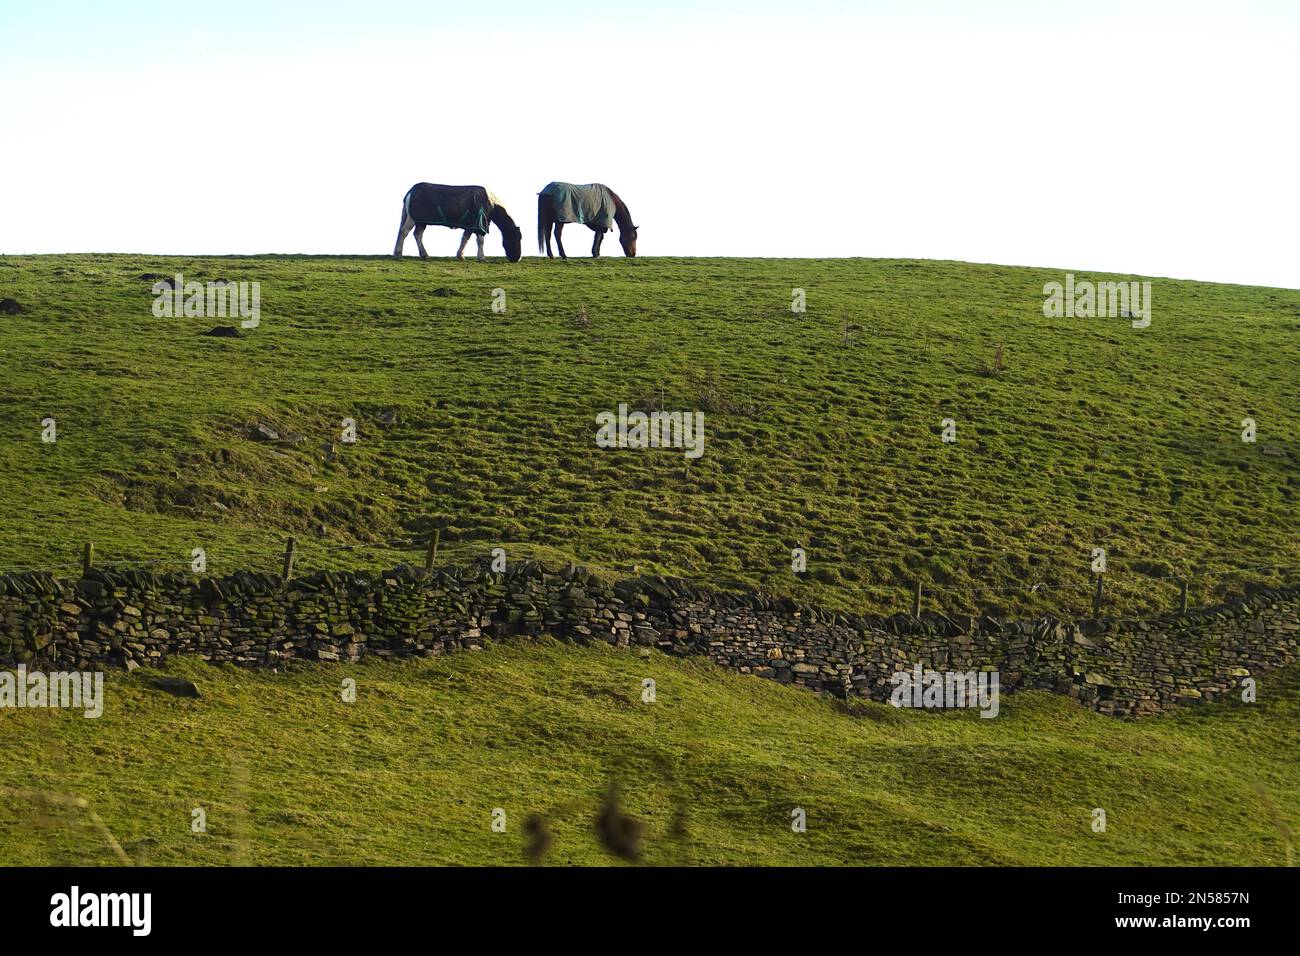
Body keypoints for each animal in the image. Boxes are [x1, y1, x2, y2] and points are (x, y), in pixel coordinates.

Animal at [393, 184, 523, 262]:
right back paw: (399, 253)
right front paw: (482, 258)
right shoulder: (479, 224)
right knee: (404, 232)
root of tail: (411, 191)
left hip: (421, 221)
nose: (517, 258)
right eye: (517, 238)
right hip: (412, 219)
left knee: (417, 234)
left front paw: (460, 255)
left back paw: (424, 254)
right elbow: (480, 241)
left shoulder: (471, 225)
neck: (491, 203)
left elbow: (465, 239)